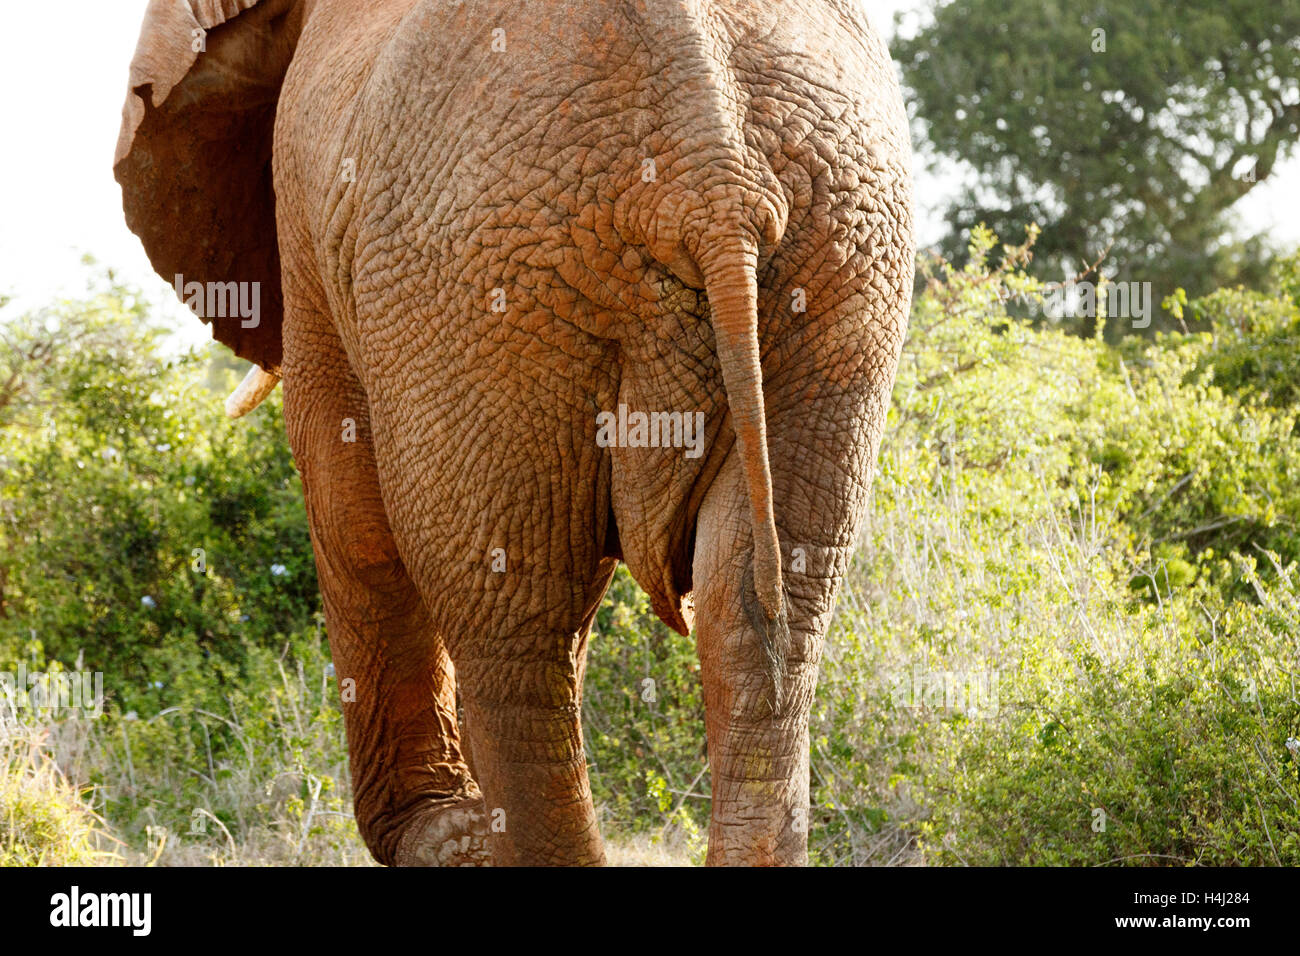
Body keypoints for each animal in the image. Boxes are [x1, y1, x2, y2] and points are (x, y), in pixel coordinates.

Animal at [114, 0, 914, 866]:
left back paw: (462, 836)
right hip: (837, 261)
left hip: (482, 275)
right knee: (759, 609)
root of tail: (715, 181)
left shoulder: (305, 205)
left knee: (515, 621)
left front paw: (431, 829)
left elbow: (347, 498)